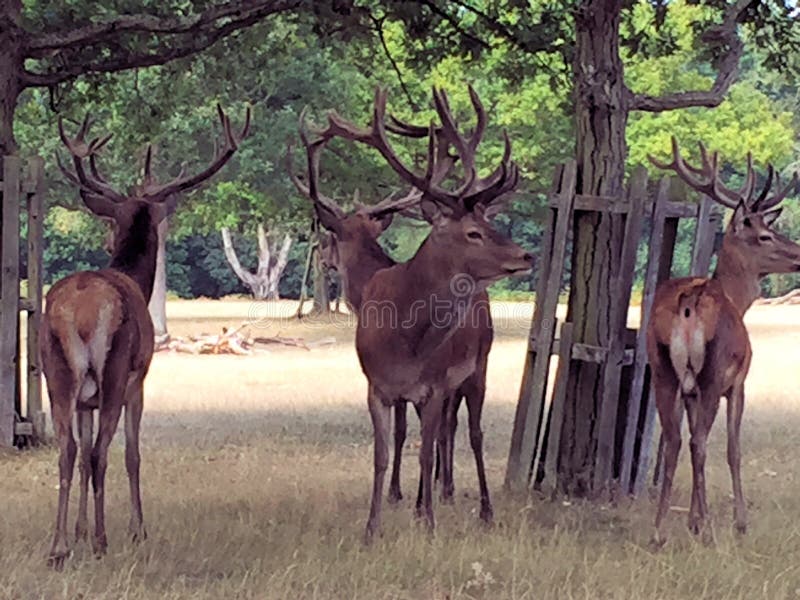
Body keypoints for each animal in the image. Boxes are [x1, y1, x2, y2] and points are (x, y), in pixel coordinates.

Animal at [42, 105, 249, 568]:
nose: (106, 239)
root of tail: (78, 312)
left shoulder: (85, 400)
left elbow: (82, 456)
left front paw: (79, 531)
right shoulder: (140, 380)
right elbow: (132, 454)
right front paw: (136, 529)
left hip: (56, 374)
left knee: (67, 451)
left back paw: (59, 547)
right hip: (116, 368)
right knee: (101, 452)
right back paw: (102, 542)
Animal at [299, 85, 532, 540]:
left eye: (485, 226)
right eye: (473, 232)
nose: (526, 254)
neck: (405, 333)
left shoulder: (435, 385)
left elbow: (425, 448)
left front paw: (427, 522)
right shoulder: (377, 386)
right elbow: (382, 453)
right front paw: (373, 526)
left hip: (480, 364)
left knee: (473, 433)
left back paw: (482, 508)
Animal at [647, 137, 800, 546]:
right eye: (764, 235)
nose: (799, 255)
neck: (737, 298)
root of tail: (690, 303)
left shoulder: (689, 390)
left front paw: (692, 521)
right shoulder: (739, 381)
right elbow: (733, 449)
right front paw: (737, 522)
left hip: (662, 369)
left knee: (674, 440)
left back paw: (659, 531)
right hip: (713, 373)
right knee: (699, 443)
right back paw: (711, 533)